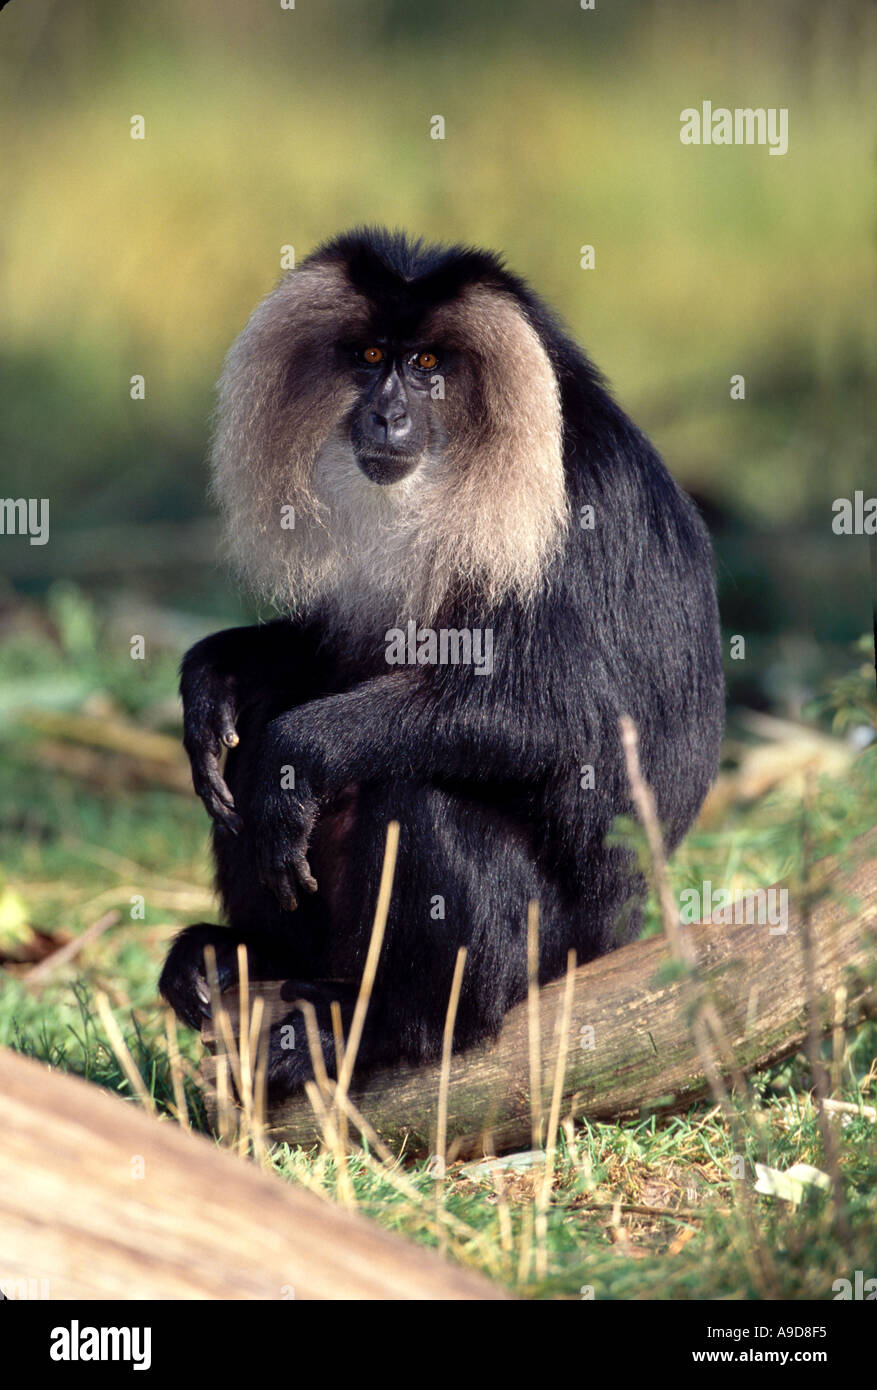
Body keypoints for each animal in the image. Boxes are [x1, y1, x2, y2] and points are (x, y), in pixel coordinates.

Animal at [159, 227, 725, 1098]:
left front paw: (299, 754)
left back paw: (391, 1032)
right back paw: (243, 955)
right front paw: (213, 675)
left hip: (554, 947)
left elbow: (562, 721)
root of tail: (627, 926)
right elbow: (330, 663)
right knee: (255, 760)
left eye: (427, 364)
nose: (386, 414)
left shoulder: (576, 501)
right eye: (369, 356)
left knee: (420, 794)